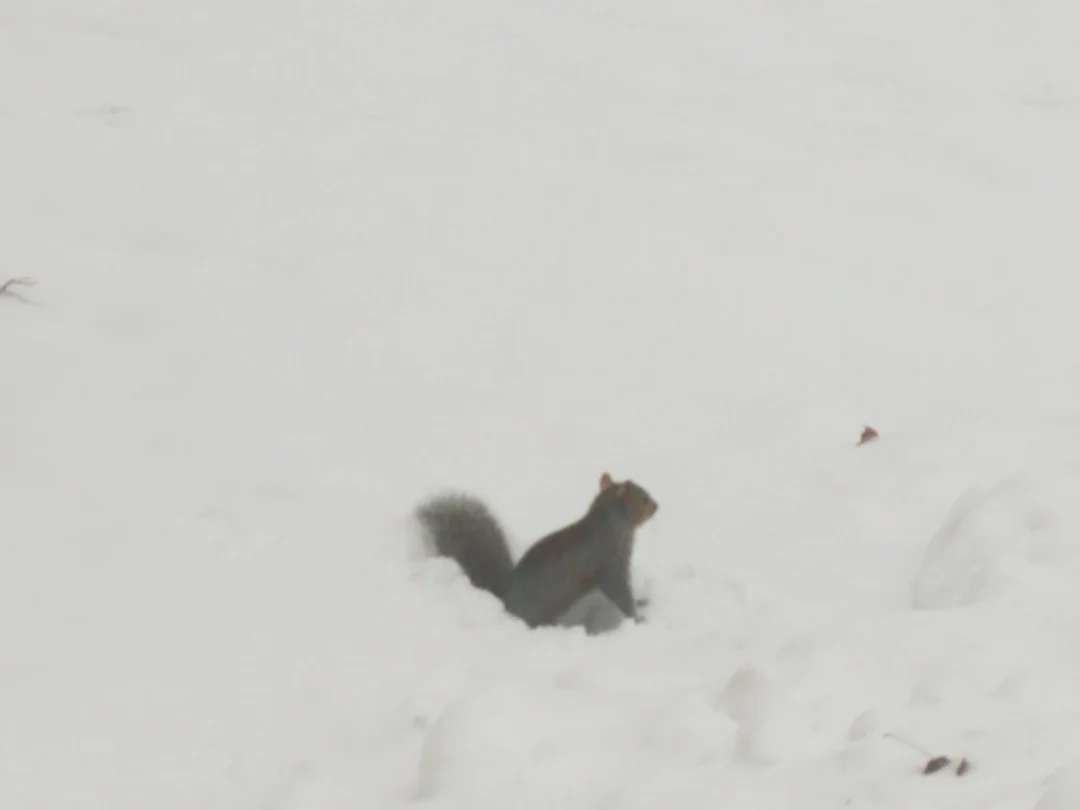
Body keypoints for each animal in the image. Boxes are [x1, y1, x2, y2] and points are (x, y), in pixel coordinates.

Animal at [414, 472, 658, 633]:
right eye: (643, 499)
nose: (657, 506)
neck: (612, 524)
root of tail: (506, 603)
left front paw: (641, 602)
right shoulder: (610, 561)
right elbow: (619, 592)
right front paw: (638, 618)